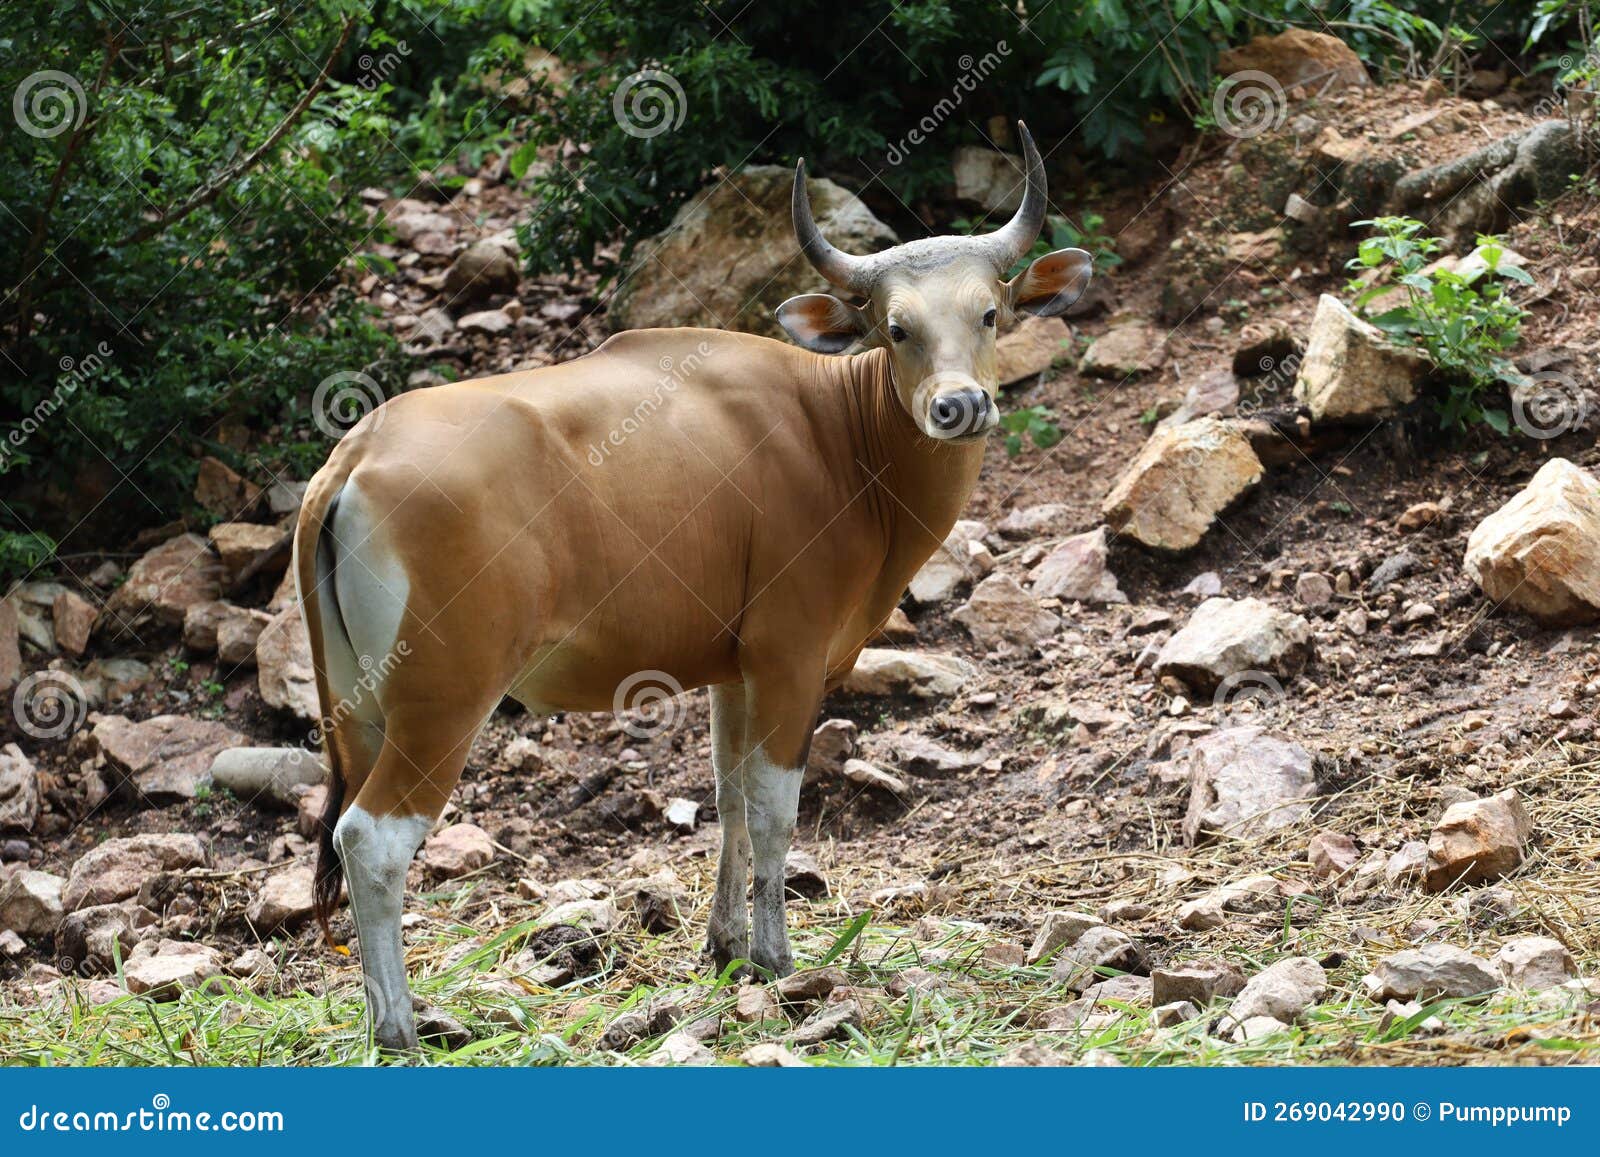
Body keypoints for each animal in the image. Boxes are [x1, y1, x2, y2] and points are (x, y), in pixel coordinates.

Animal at [293, 122, 1091, 1050]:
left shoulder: (733, 670)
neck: (838, 437)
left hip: (362, 711)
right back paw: (399, 1028)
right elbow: (777, 806)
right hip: (443, 701)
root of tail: (355, 456)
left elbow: (729, 794)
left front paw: (724, 945)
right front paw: (777, 956)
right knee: (372, 840)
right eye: (895, 327)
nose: (960, 404)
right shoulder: (789, 656)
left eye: (989, 312)